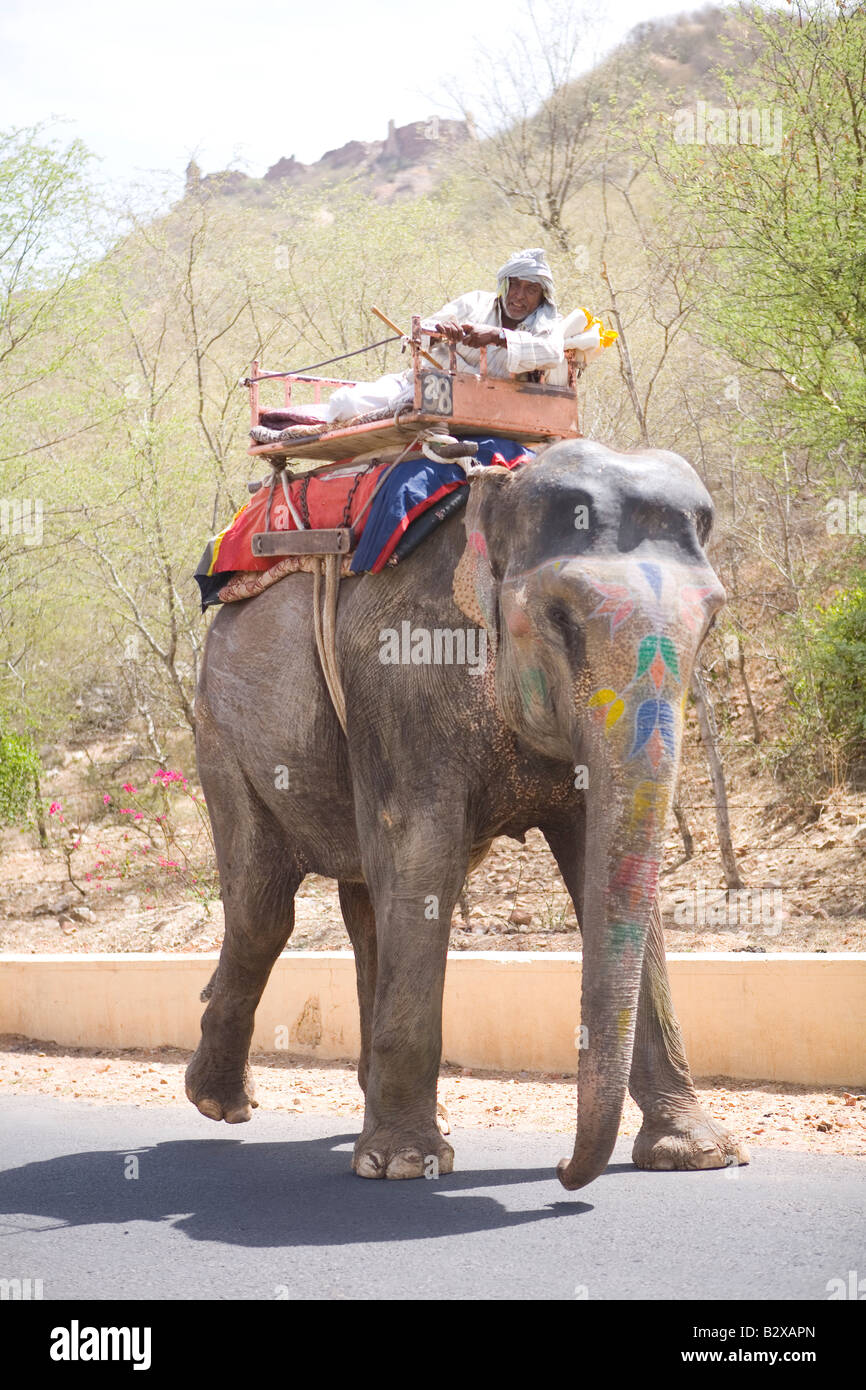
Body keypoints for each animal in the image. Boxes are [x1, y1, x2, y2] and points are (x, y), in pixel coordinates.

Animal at [186, 435, 749, 1191]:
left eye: (712, 620)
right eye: (560, 620)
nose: (562, 1169)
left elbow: (600, 869)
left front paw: (699, 1154)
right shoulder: (400, 671)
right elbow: (422, 855)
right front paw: (405, 1166)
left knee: (364, 905)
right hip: (221, 732)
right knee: (263, 908)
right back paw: (220, 1105)